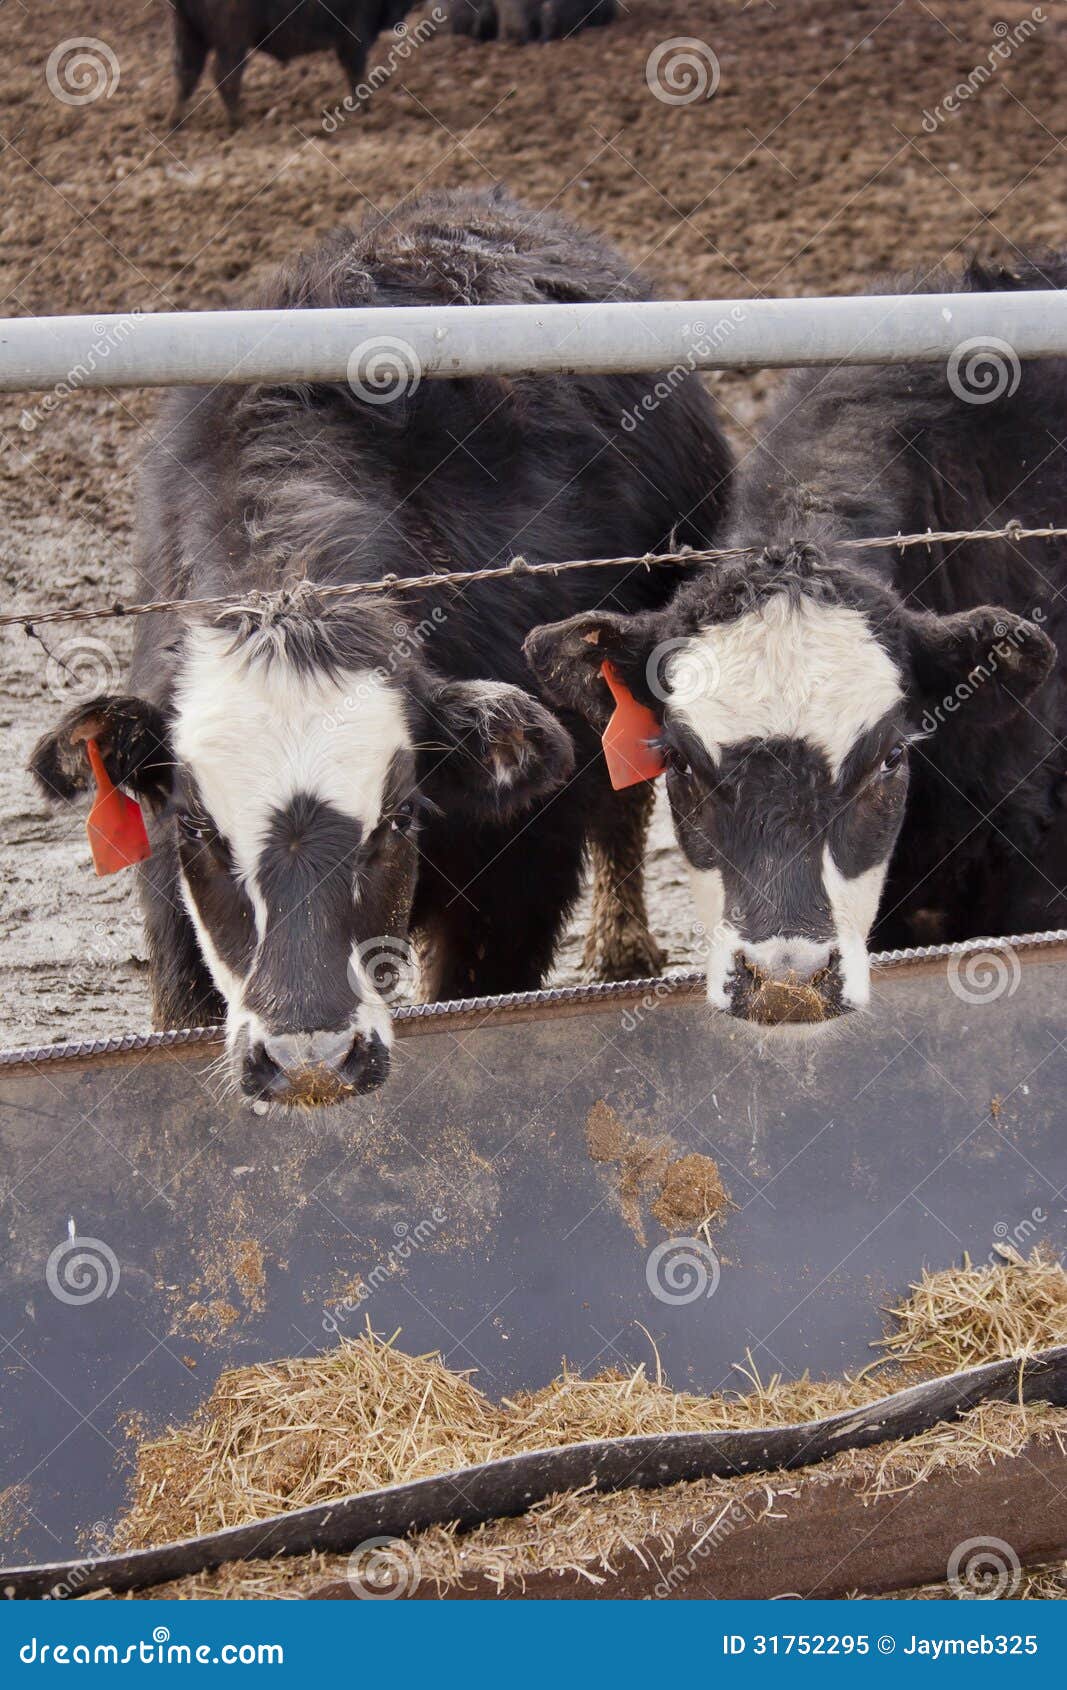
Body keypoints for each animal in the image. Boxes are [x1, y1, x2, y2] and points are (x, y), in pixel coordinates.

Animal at [30, 188, 731, 1106]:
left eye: (394, 817)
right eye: (197, 826)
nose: (307, 1057)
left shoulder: (516, 876)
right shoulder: (172, 916)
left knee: (625, 796)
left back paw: (623, 949)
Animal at [168, 0, 414, 129]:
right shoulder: (355, 38)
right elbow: (358, 75)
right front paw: (367, 111)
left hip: (188, 33)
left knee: (186, 73)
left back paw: (175, 122)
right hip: (232, 40)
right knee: (224, 74)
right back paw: (241, 121)